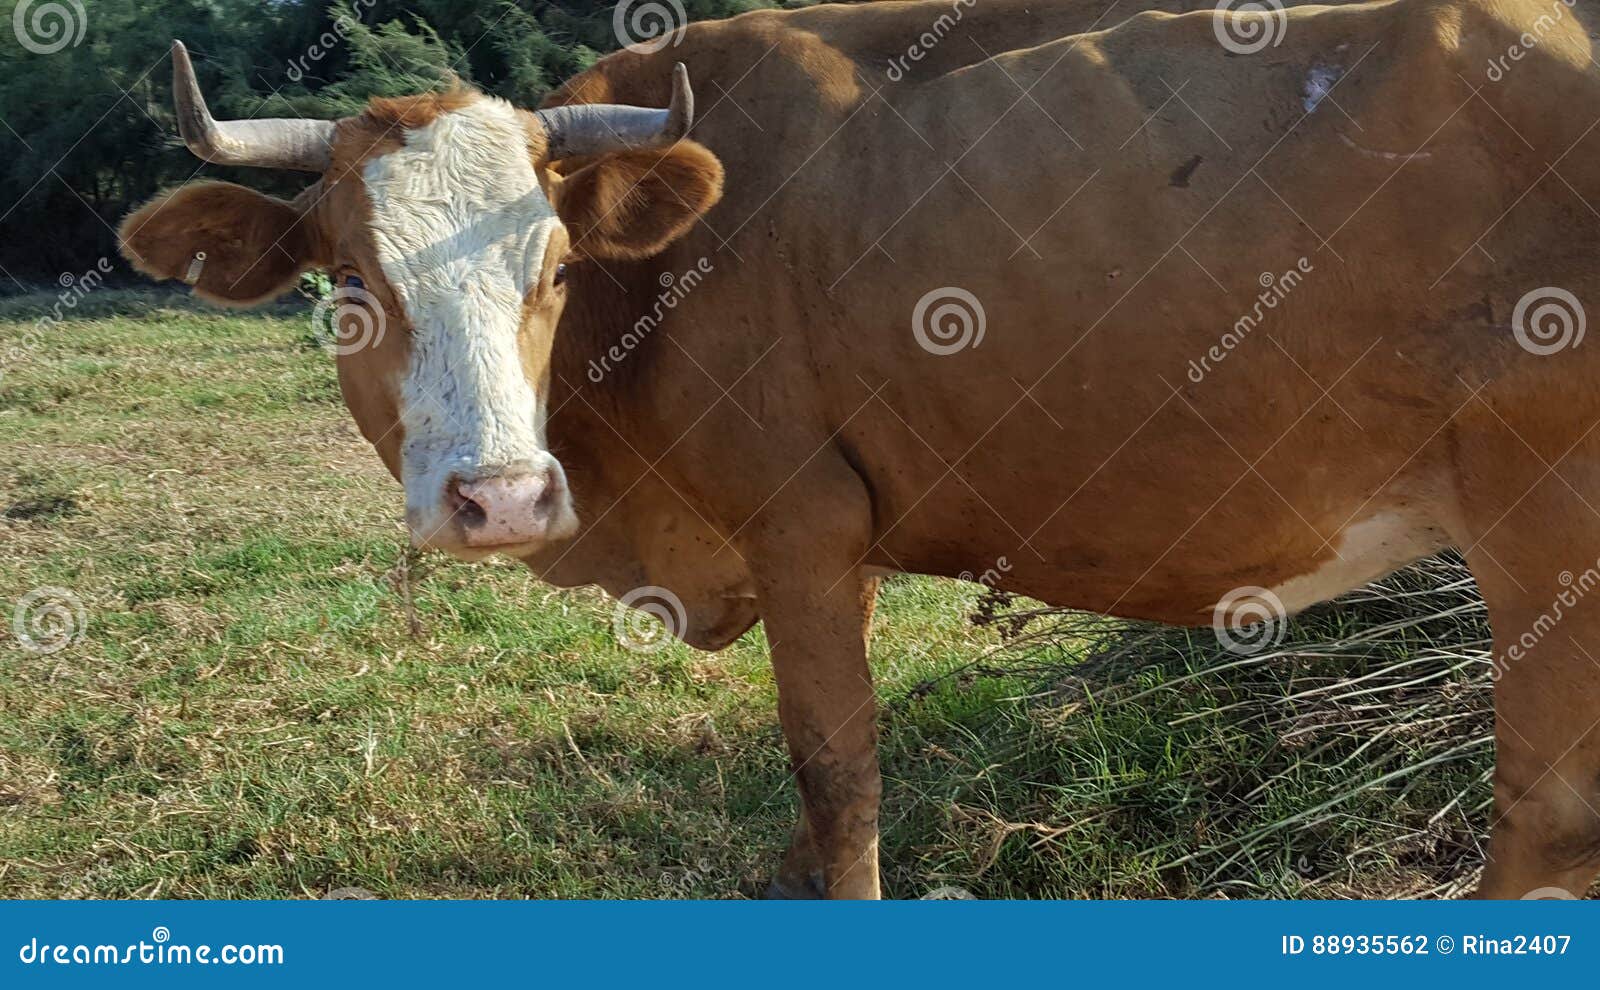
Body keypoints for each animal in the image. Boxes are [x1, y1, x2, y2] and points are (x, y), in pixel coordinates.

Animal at [119, 0, 1600, 899]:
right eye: (350, 280)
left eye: (555, 267)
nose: (503, 497)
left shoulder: (800, 522)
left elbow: (835, 772)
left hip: (1544, 522)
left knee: (1545, 817)